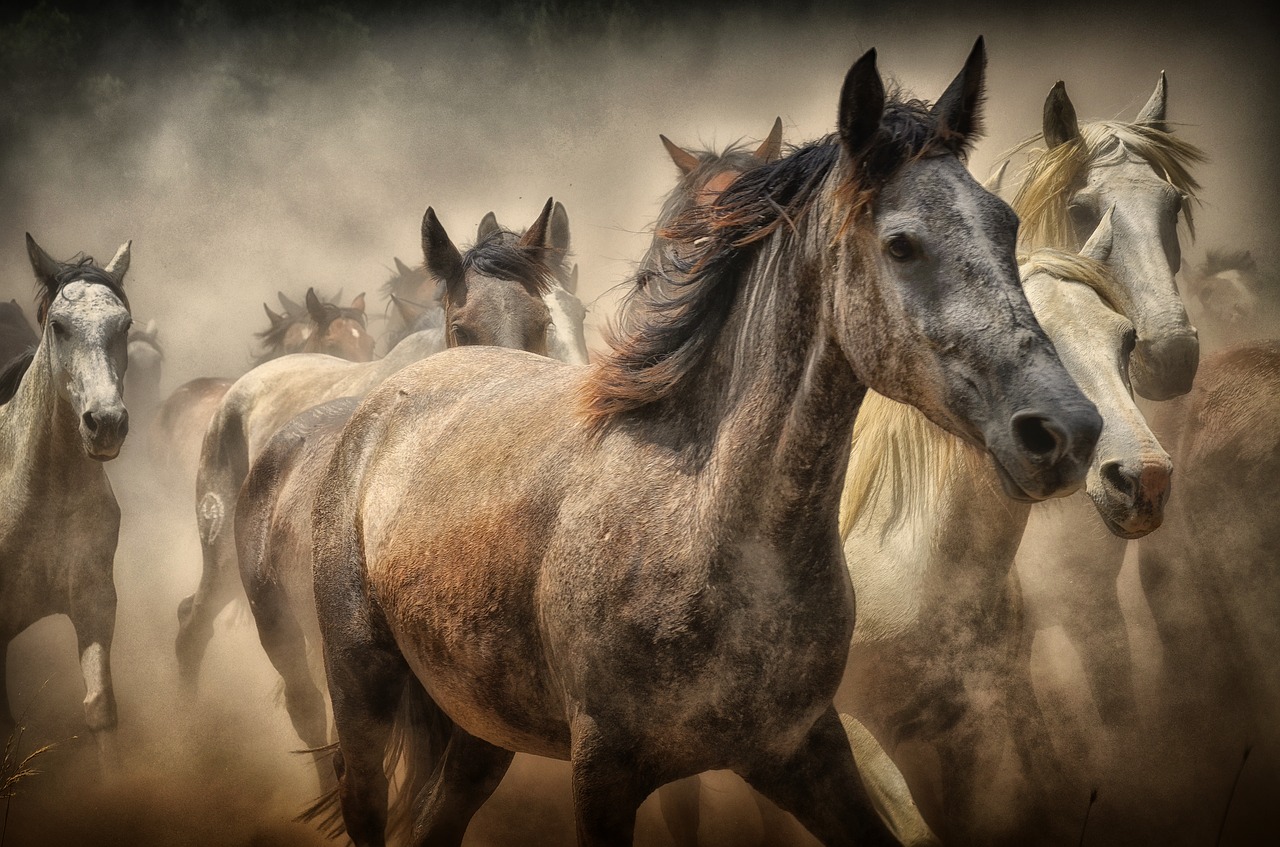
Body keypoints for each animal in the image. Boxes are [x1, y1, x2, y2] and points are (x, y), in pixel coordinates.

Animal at [306, 39, 1101, 847]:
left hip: (480, 730)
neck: (705, 520)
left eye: (1006, 225)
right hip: (362, 687)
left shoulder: (802, 748)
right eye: (902, 244)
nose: (1065, 430)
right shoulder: (604, 772)